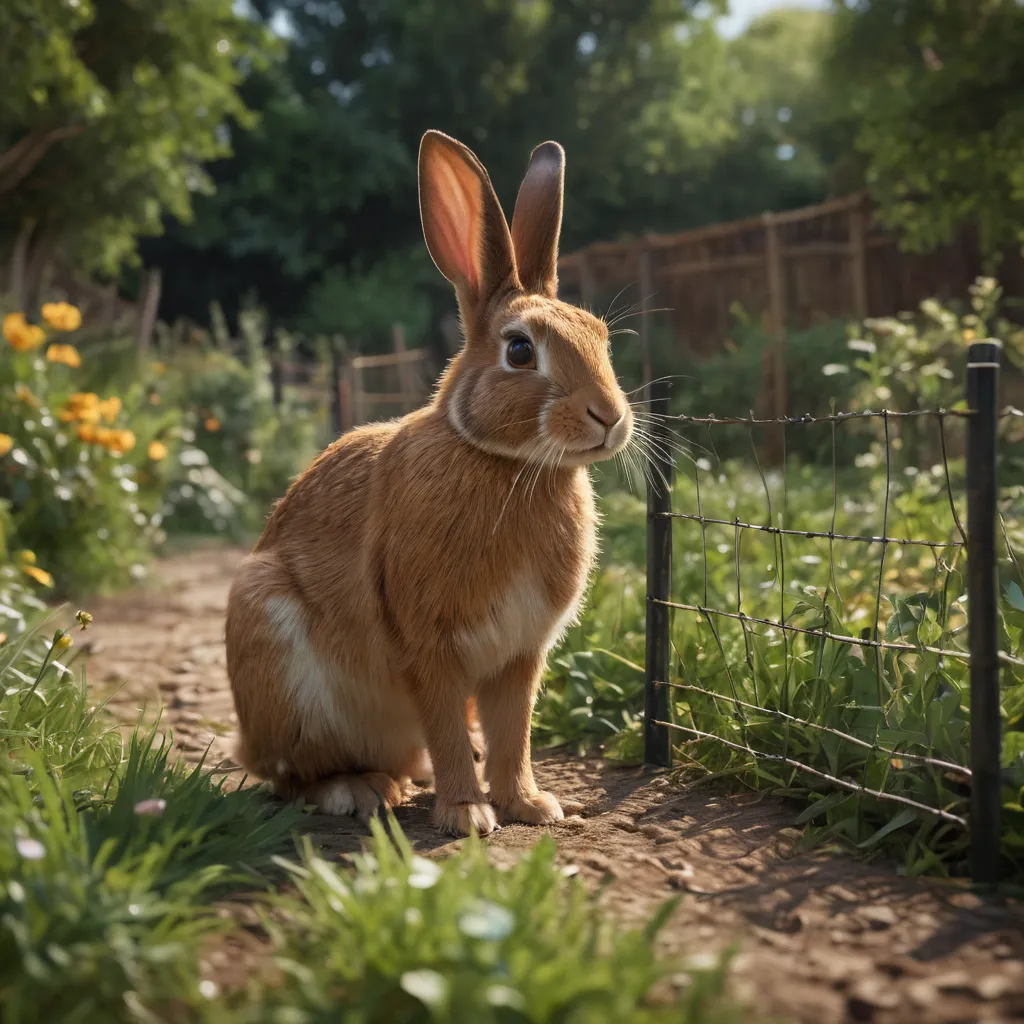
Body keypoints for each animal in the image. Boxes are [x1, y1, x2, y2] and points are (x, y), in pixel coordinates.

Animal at [225, 130, 634, 836]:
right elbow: (446, 725)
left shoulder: (521, 654)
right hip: (276, 661)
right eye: (520, 350)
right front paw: (468, 815)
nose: (610, 417)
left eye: (602, 338)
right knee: (290, 775)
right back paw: (357, 792)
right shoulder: (428, 643)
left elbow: (513, 732)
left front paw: (530, 805)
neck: (503, 460)